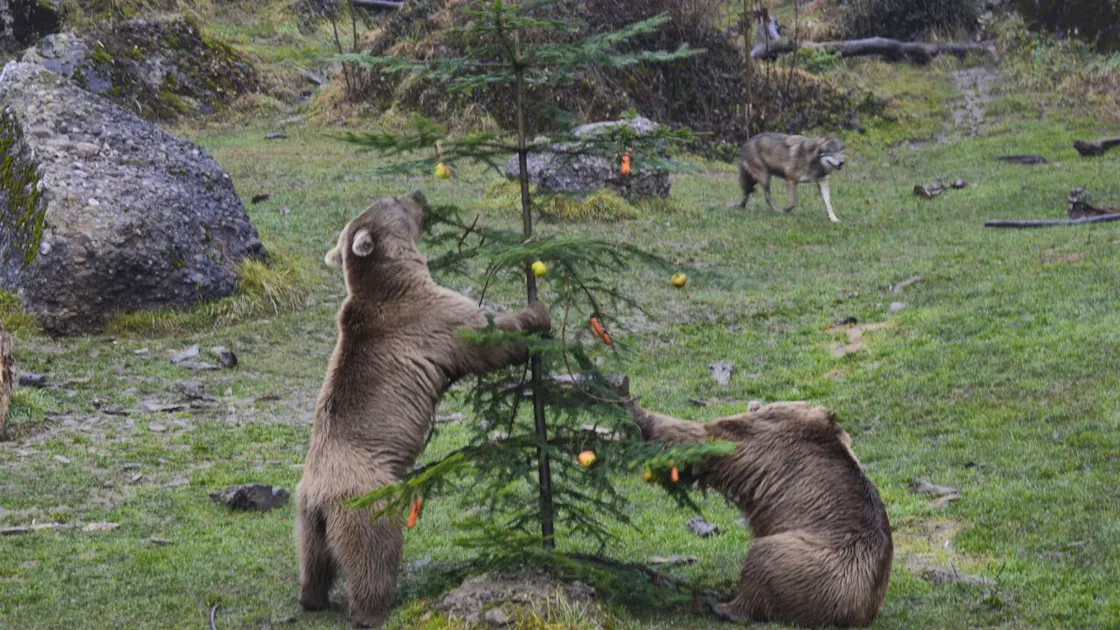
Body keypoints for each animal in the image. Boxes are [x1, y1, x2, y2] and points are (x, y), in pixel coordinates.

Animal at [296, 190, 551, 627]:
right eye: (394, 200)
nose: (419, 193)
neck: (393, 280)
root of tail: (320, 498)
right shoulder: (431, 316)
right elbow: (484, 337)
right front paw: (536, 314)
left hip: (306, 518)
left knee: (313, 560)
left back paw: (312, 597)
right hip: (367, 503)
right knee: (374, 556)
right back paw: (371, 609)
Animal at [629, 401, 893, 628]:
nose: (754, 403)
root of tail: (859, 612)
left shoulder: (766, 438)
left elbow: (705, 438)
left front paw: (636, 409)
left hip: (814, 563)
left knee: (762, 561)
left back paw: (724, 606)